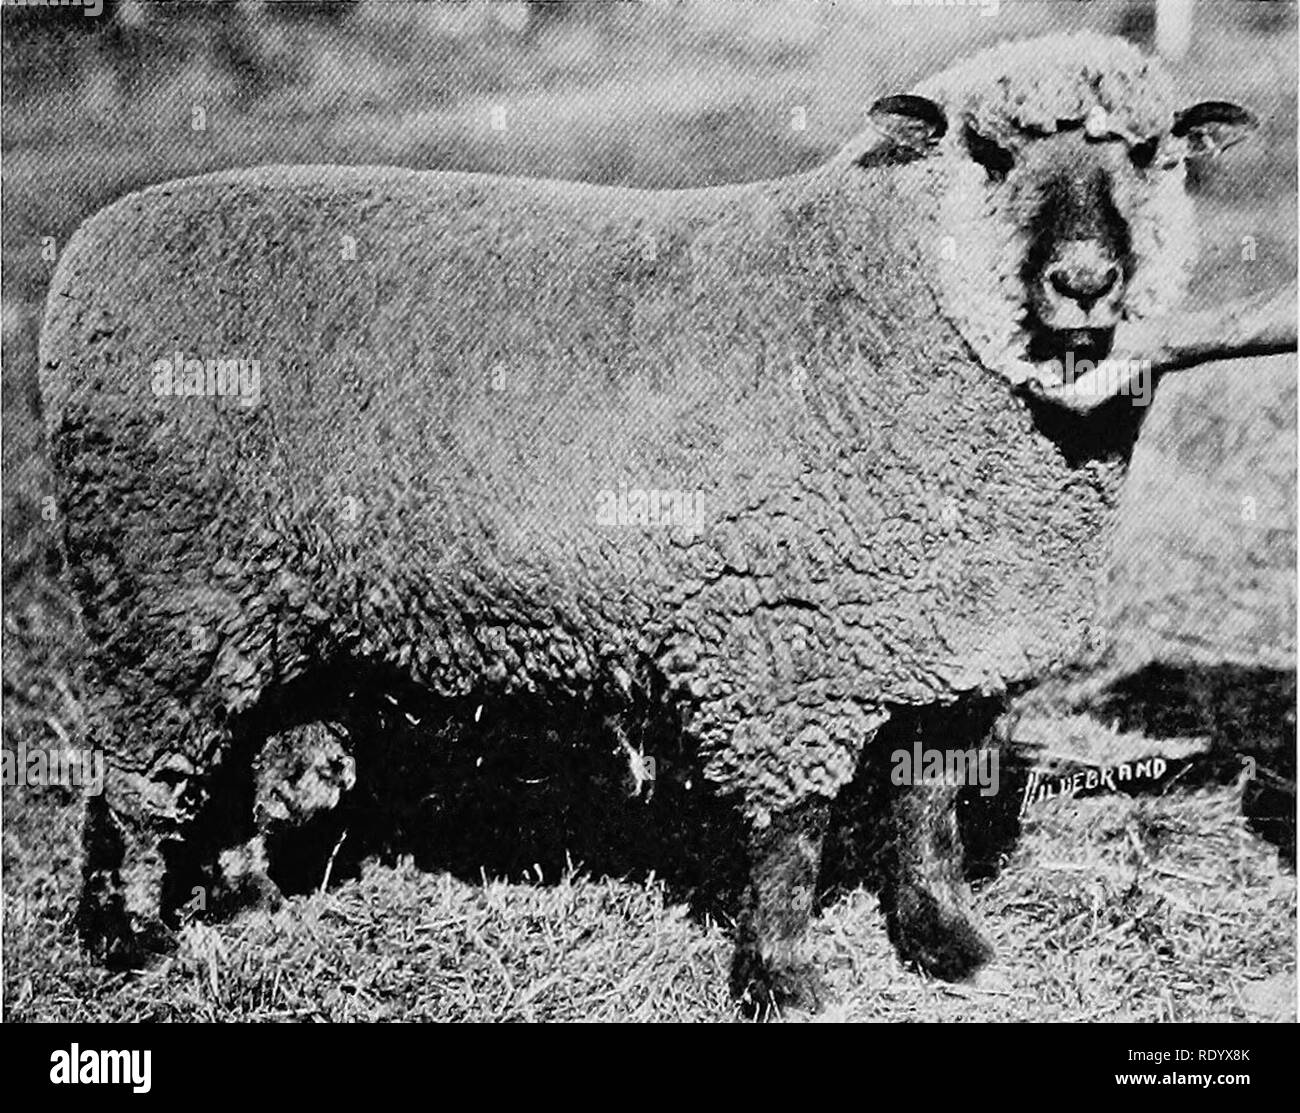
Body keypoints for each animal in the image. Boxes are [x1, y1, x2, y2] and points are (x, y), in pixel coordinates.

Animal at [40, 31, 1268, 1014]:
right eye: (988, 155)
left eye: (1152, 156)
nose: (1084, 280)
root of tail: (90, 250)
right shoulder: (781, 649)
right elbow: (789, 837)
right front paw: (785, 978)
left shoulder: (948, 644)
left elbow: (927, 817)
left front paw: (950, 949)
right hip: (157, 587)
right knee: (134, 780)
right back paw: (124, 936)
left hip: (260, 605)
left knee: (229, 758)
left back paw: (245, 903)